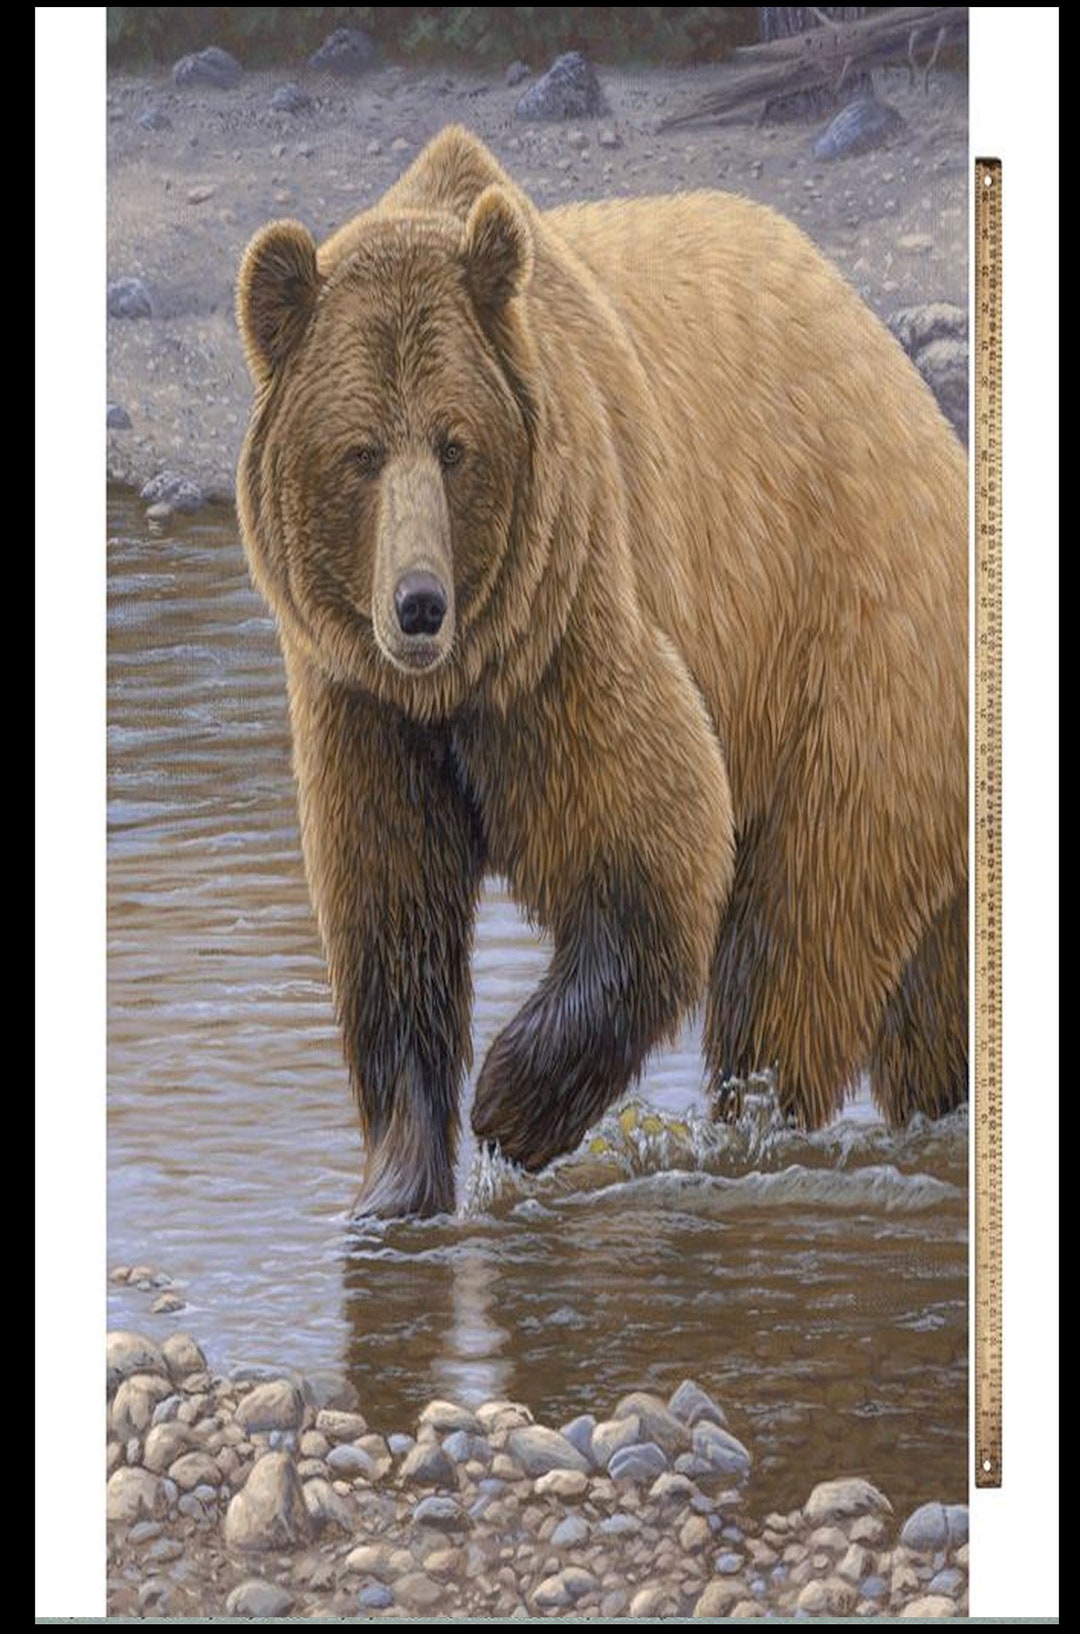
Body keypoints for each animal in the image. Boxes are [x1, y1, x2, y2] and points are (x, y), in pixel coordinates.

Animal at [236, 125, 967, 1219]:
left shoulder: (571, 608)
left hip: (849, 654)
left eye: (455, 445)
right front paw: (393, 1188)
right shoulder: (362, 706)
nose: (417, 605)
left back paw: (750, 1130)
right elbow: (390, 917)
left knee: (800, 945)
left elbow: (651, 840)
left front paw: (509, 1104)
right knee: (928, 1002)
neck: (453, 684)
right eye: (359, 451)